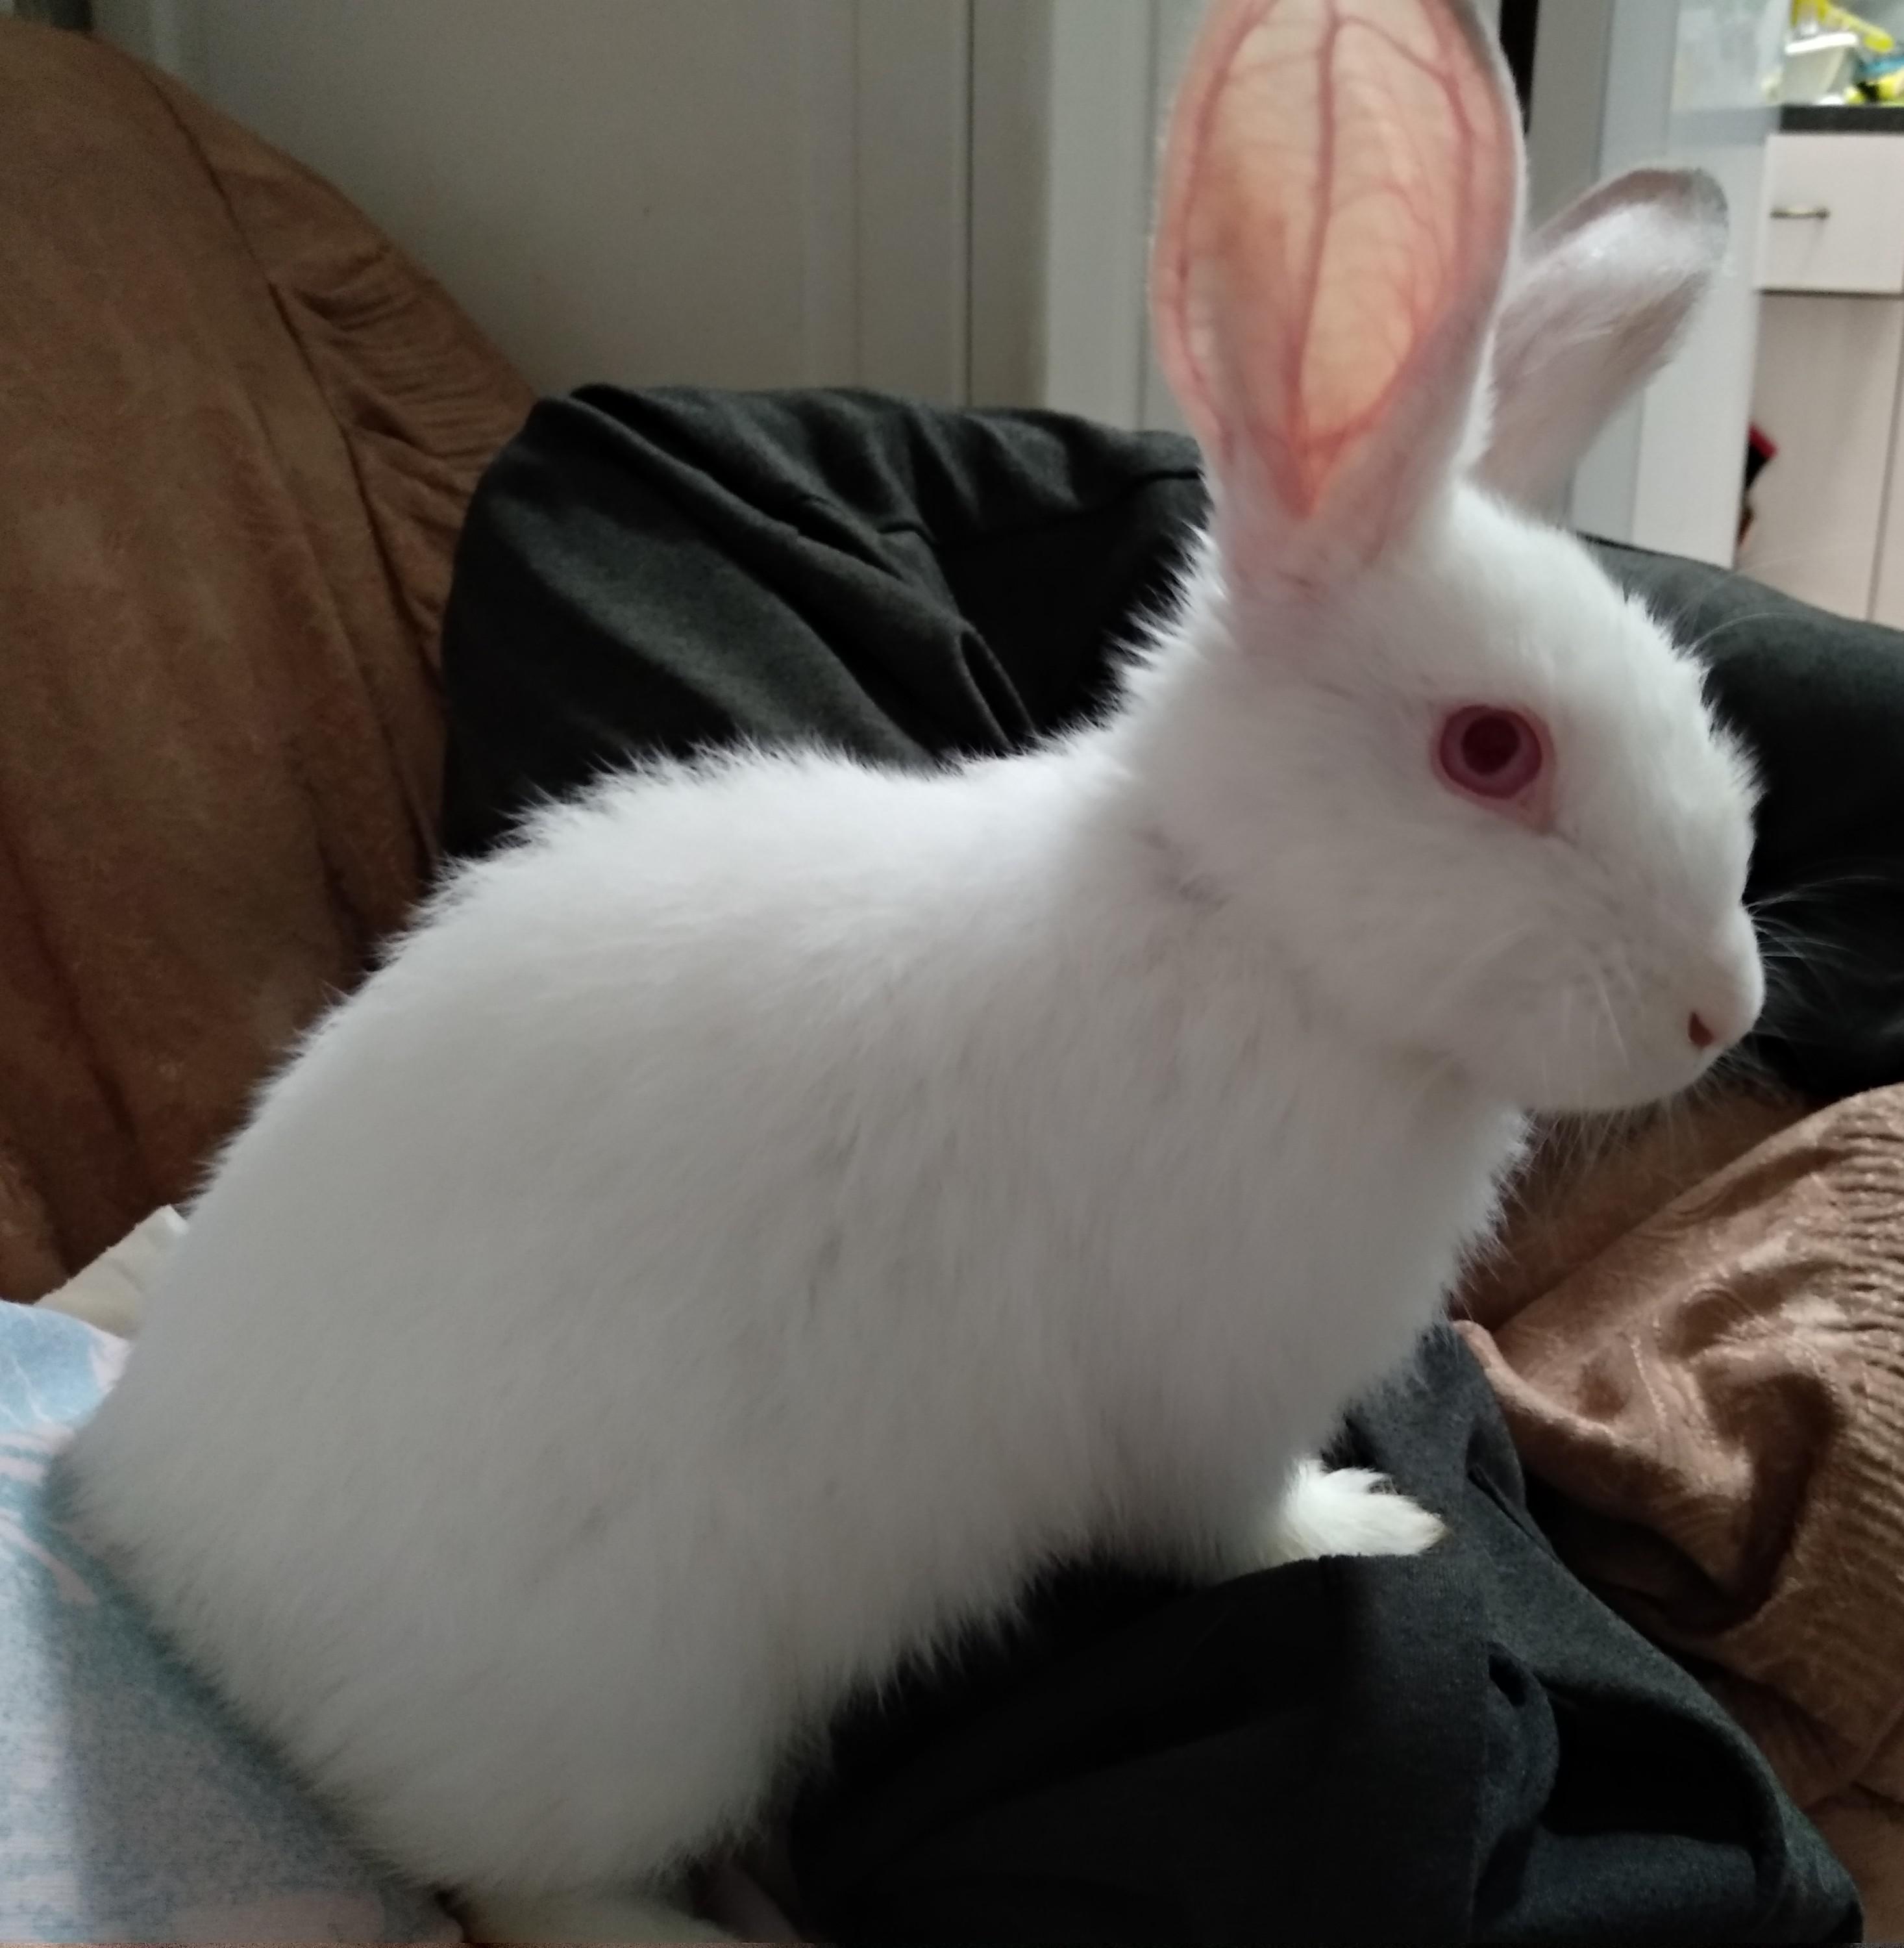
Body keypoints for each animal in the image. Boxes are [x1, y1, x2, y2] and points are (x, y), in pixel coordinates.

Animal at [64, 0, 1761, 1927]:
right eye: (1491, 751)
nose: (1722, 1007)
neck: (1235, 919)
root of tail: (154, 1547)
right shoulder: (1211, 1407)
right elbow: (1236, 1529)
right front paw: (1379, 1525)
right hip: (632, 1726)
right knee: (526, 1892)